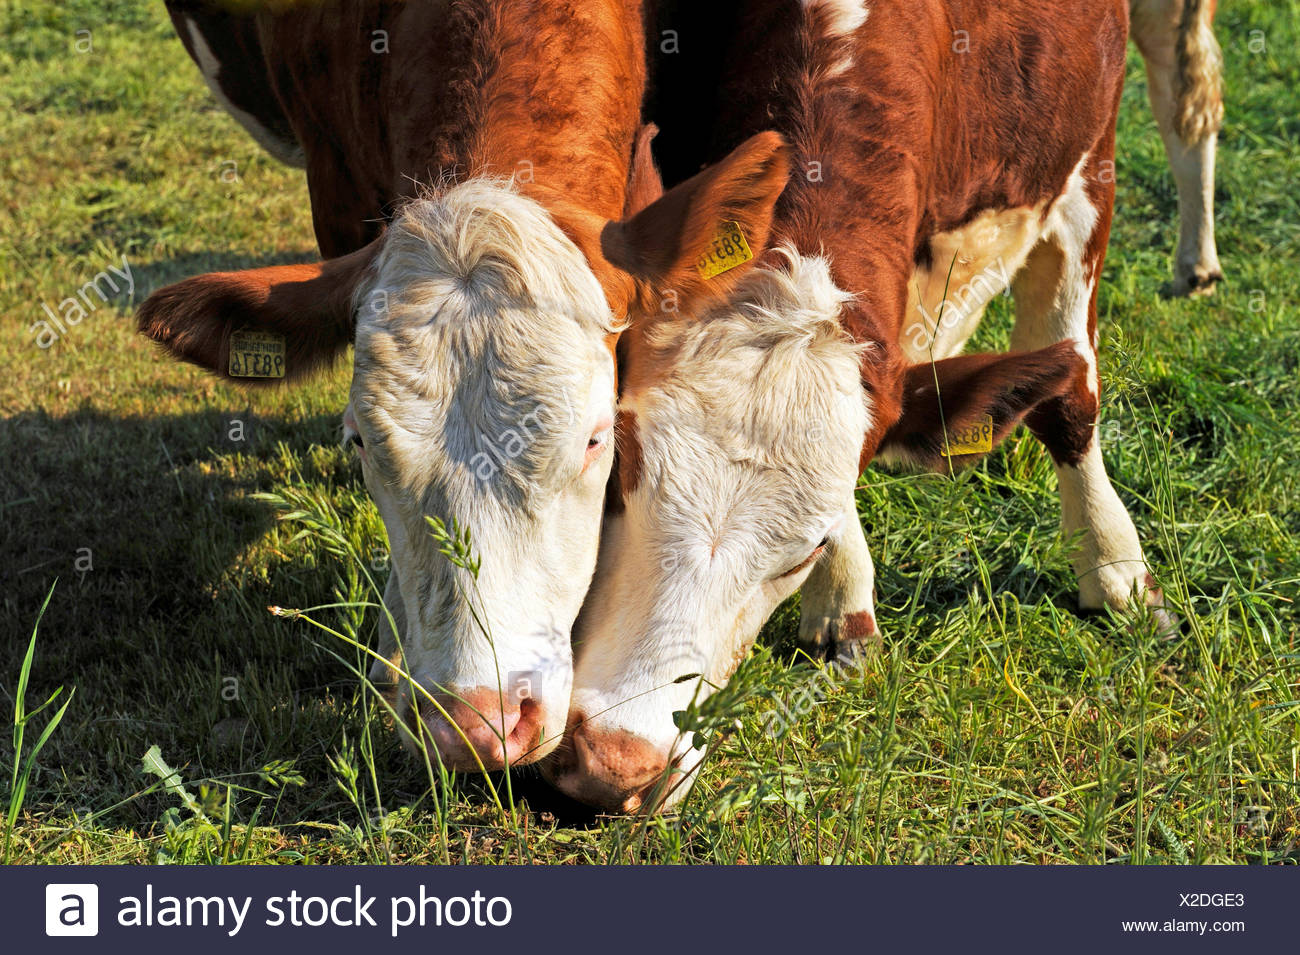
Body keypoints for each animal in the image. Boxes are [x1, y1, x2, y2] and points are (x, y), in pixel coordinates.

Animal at [545, 0, 1180, 812]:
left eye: (805, 549)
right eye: (616, 472)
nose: (613, 764)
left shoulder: (1085, 166)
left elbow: (1069, 393)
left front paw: (1115, 564)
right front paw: (848, 598)